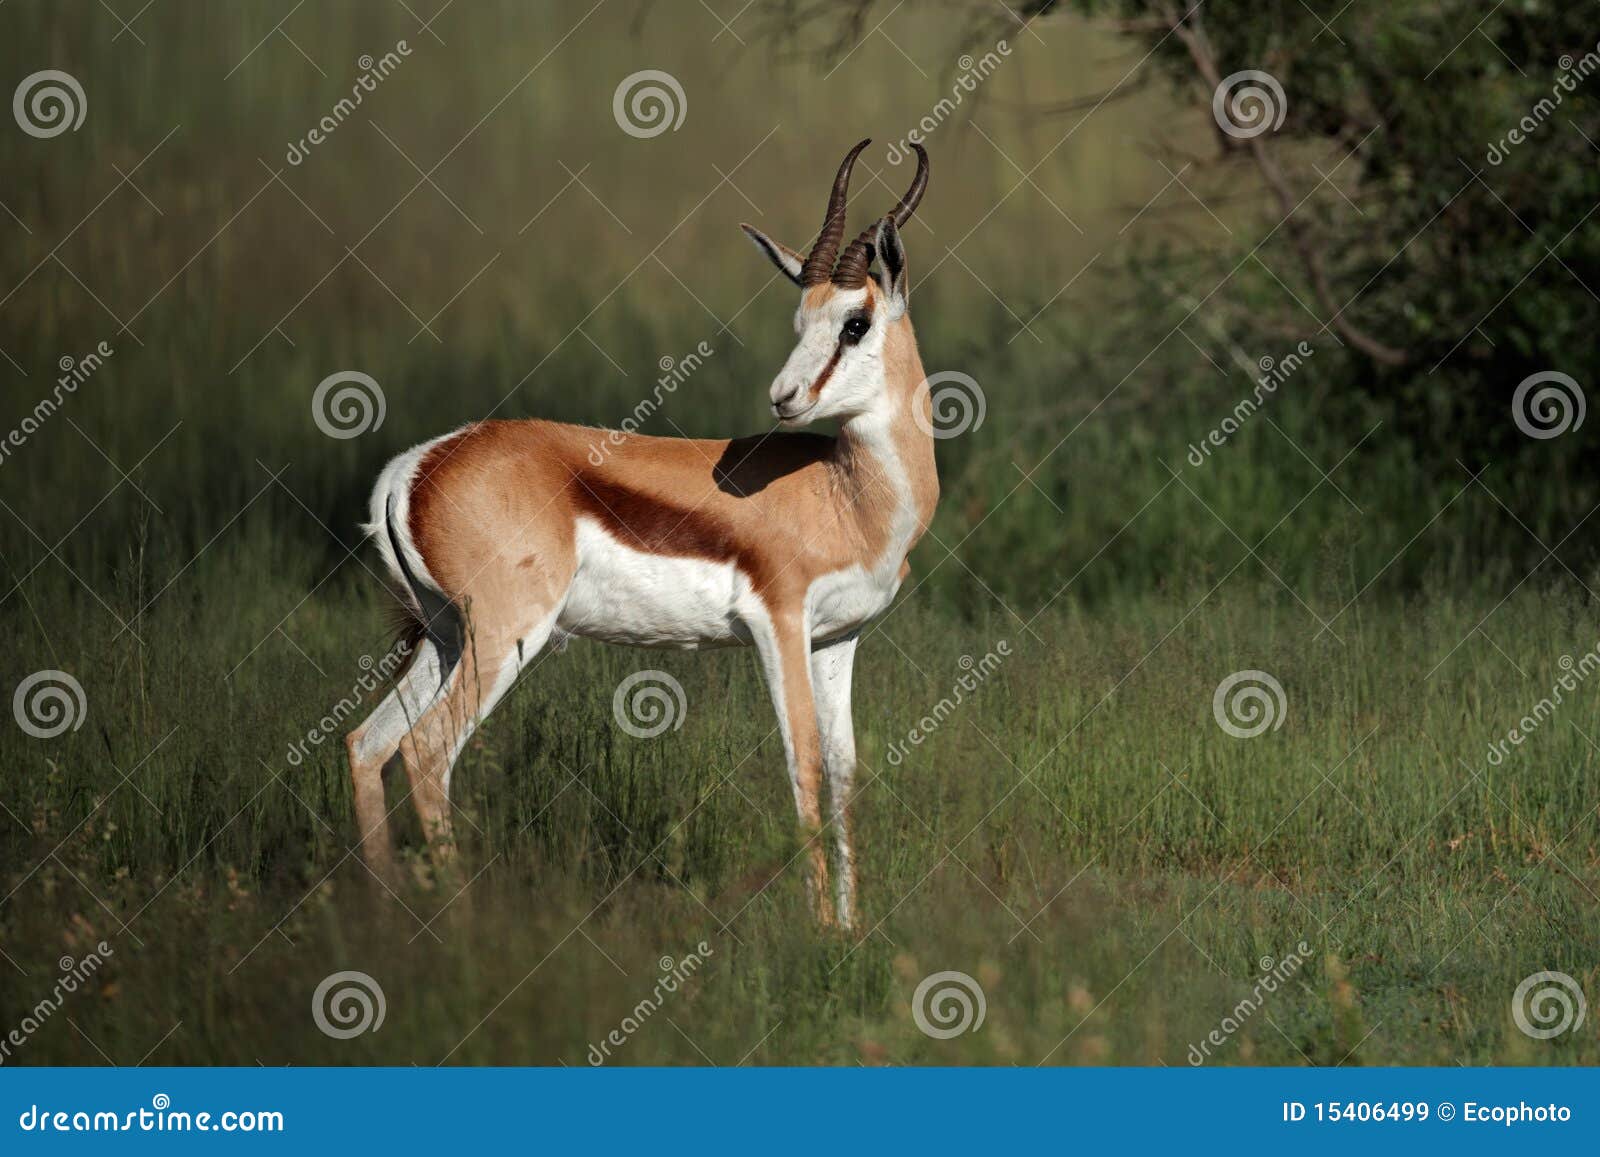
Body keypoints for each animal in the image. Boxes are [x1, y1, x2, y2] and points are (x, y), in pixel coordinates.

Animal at [344, 140, 937, 930]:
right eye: (799, 321)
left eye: (854, 323)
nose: (784, 398)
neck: (847, 494)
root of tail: (416, 465)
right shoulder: (777, 624)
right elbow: (803, 764)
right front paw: (818, 931)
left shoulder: (837, 639)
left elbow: (842, 773)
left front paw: (849, 930)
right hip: (506, 636)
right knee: (426, 749)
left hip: (445, 637)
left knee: (366, 744)